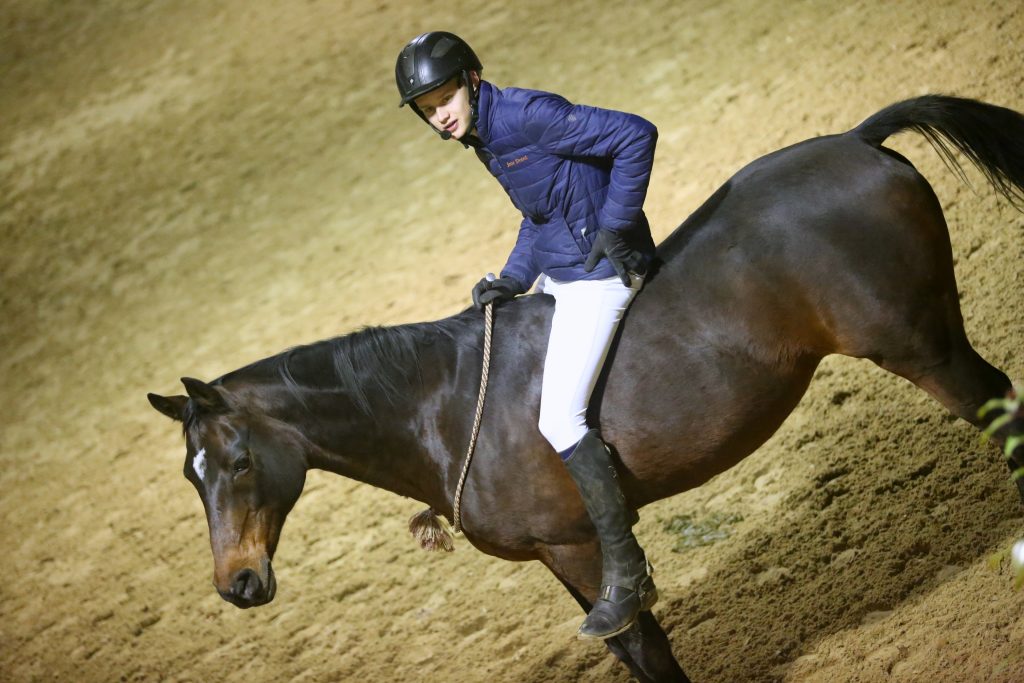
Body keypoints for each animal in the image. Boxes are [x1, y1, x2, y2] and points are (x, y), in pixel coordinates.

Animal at [148, 95, 1024, 682]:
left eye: (238, 465)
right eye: (192, 477)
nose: (237, 585)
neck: (438, 407)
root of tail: (854, 140)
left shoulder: (574, 540)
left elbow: (637, 640)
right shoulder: (557, 554)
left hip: (918, 344)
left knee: (1000, 410)